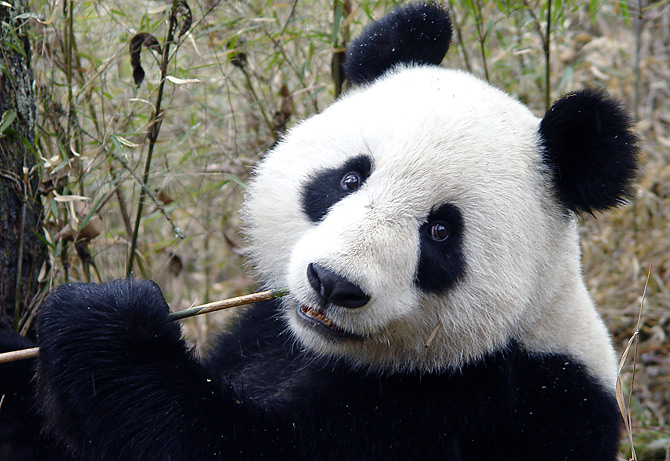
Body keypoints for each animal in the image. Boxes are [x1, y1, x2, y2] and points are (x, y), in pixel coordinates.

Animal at [7, 2, 638, 460]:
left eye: (440, 232)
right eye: (349, 178)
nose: (333, 284)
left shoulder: (477, 403)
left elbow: (224, 444)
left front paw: (107, 321)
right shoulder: (264, 331)